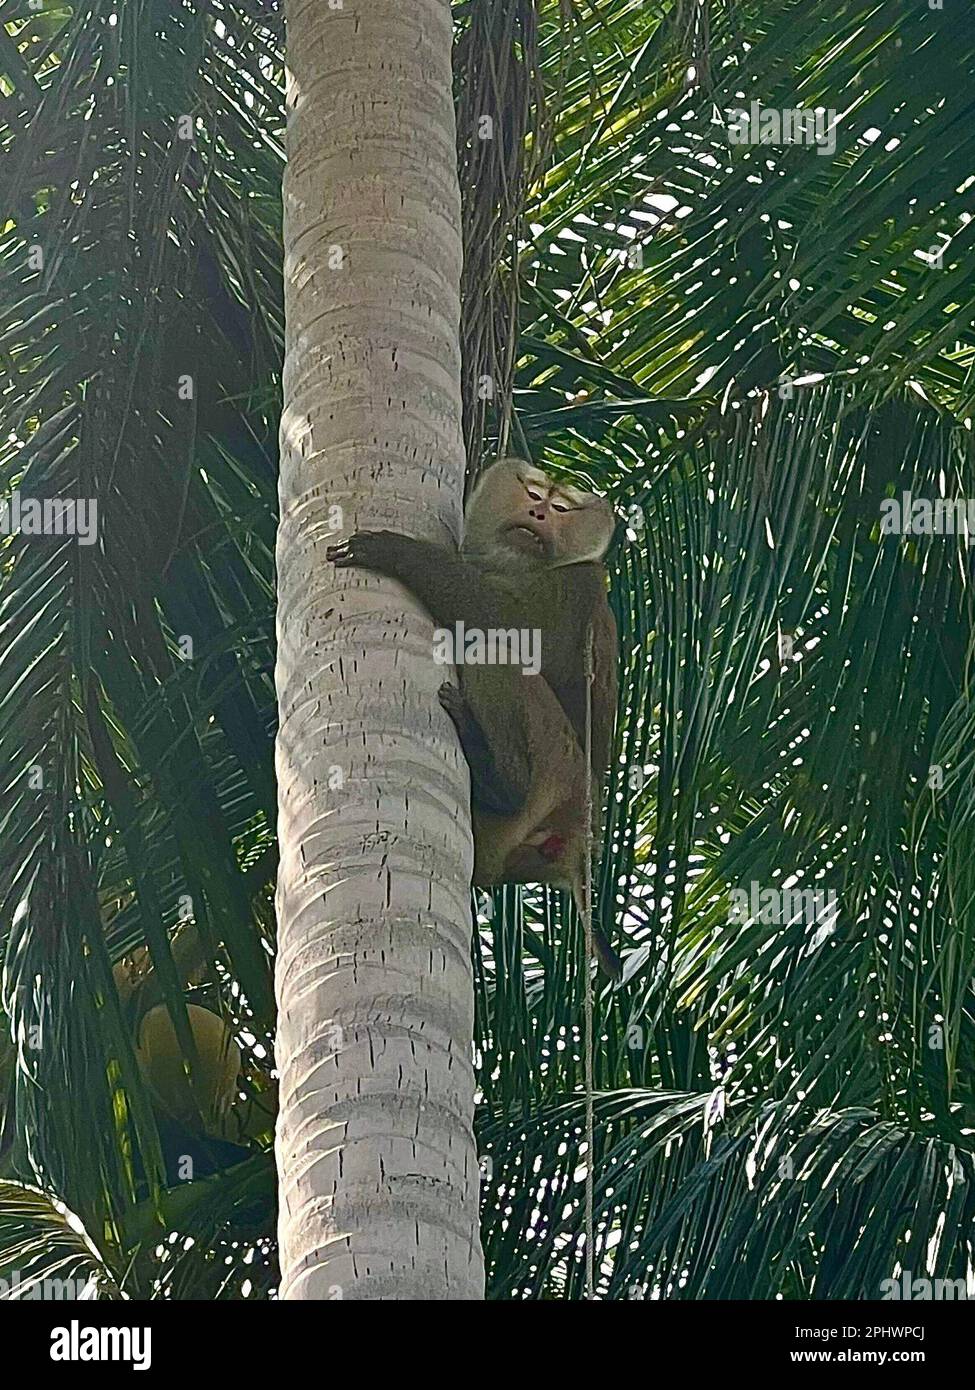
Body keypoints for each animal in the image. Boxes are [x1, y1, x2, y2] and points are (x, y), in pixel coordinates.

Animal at [326, 457, 621, 979]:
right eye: (533, 494)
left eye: (561, 508)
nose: (538, 514)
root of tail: (575, 837)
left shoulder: (578, 583)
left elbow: (507, 624)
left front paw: (397, 552)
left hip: (557, 771)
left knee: (492, 647)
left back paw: (502, 781)